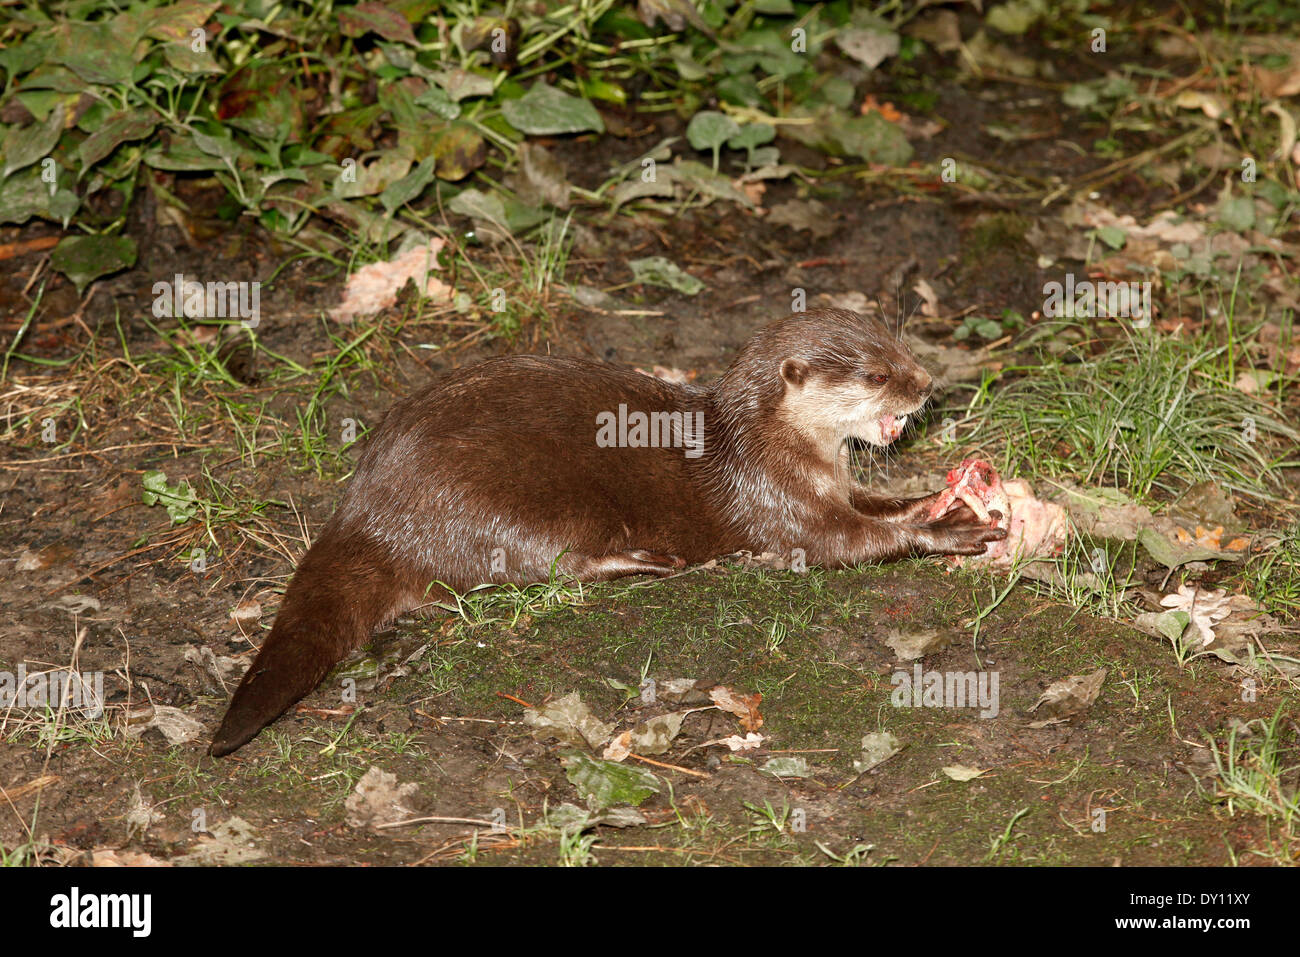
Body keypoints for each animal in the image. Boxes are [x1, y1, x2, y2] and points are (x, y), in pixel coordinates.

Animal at [210, 308, 1004, 756]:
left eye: (901, 350)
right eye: (875, 374)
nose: (927, 385)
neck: (763, 446)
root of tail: (366, 510)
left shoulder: (831, 485)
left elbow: (878, 507)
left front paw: (942, 499)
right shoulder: (776, 504)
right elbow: (843, 544)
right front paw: (948, 531)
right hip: (508, 508)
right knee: (543, 569)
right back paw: (646, 560)